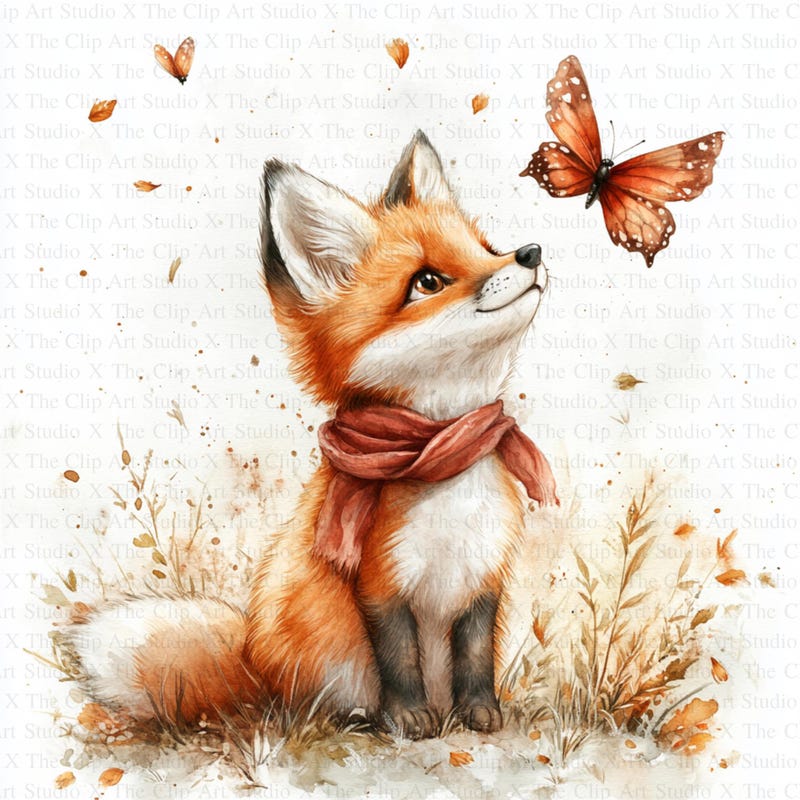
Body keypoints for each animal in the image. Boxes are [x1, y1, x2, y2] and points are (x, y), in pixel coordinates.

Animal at [71, 130, 556, 740]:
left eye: (486, 246)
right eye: (427, 282)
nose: (530, 253)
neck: (441, 457)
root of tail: (253, 667)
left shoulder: (482, 578)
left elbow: (474, 657)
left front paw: (480, 713)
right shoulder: (378, 582)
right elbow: (399, 658)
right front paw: (409, 718)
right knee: (309, 705)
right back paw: (356, 717)